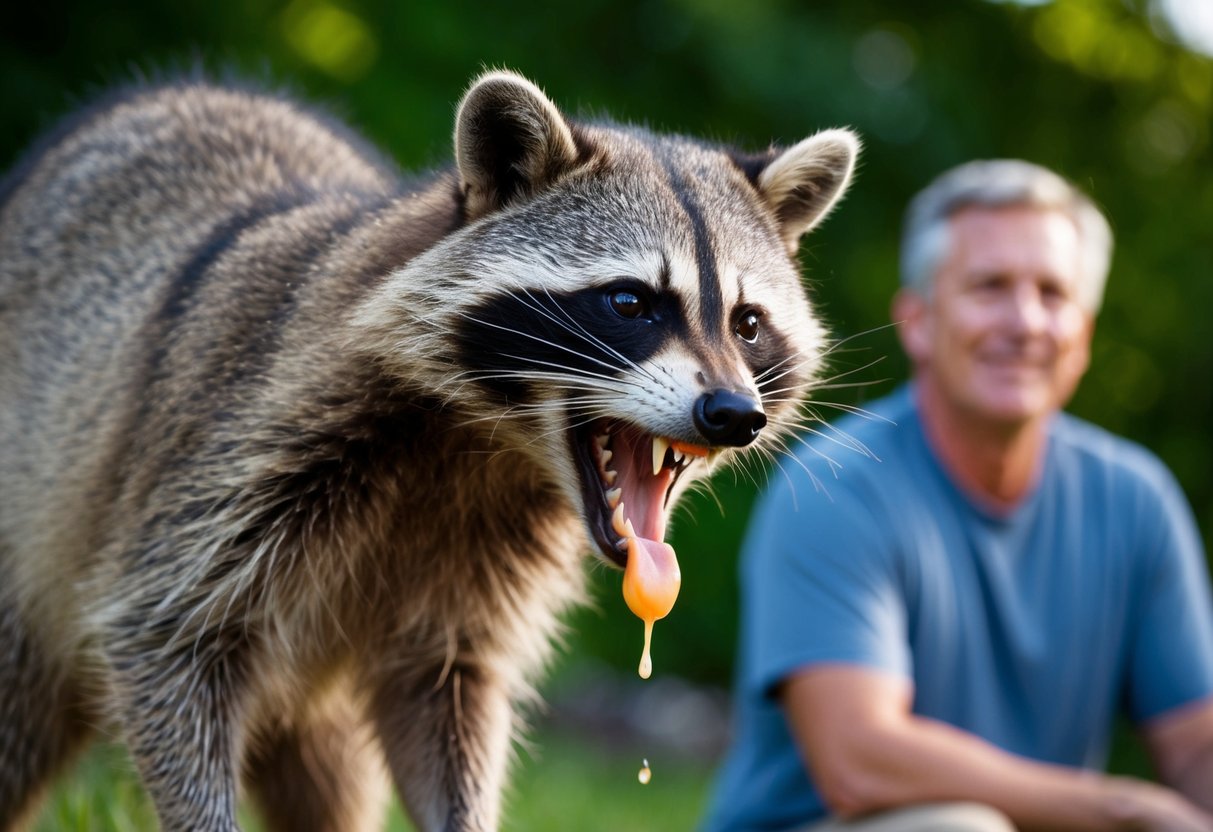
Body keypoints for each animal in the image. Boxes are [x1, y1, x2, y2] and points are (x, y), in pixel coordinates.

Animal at [0, 71, 857, 831]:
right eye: (629, 303)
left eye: (747, 324)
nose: (733, 414)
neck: (488, 442)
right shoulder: (232, 452)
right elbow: (167, 641)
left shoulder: (475, 583)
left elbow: (447, 699)